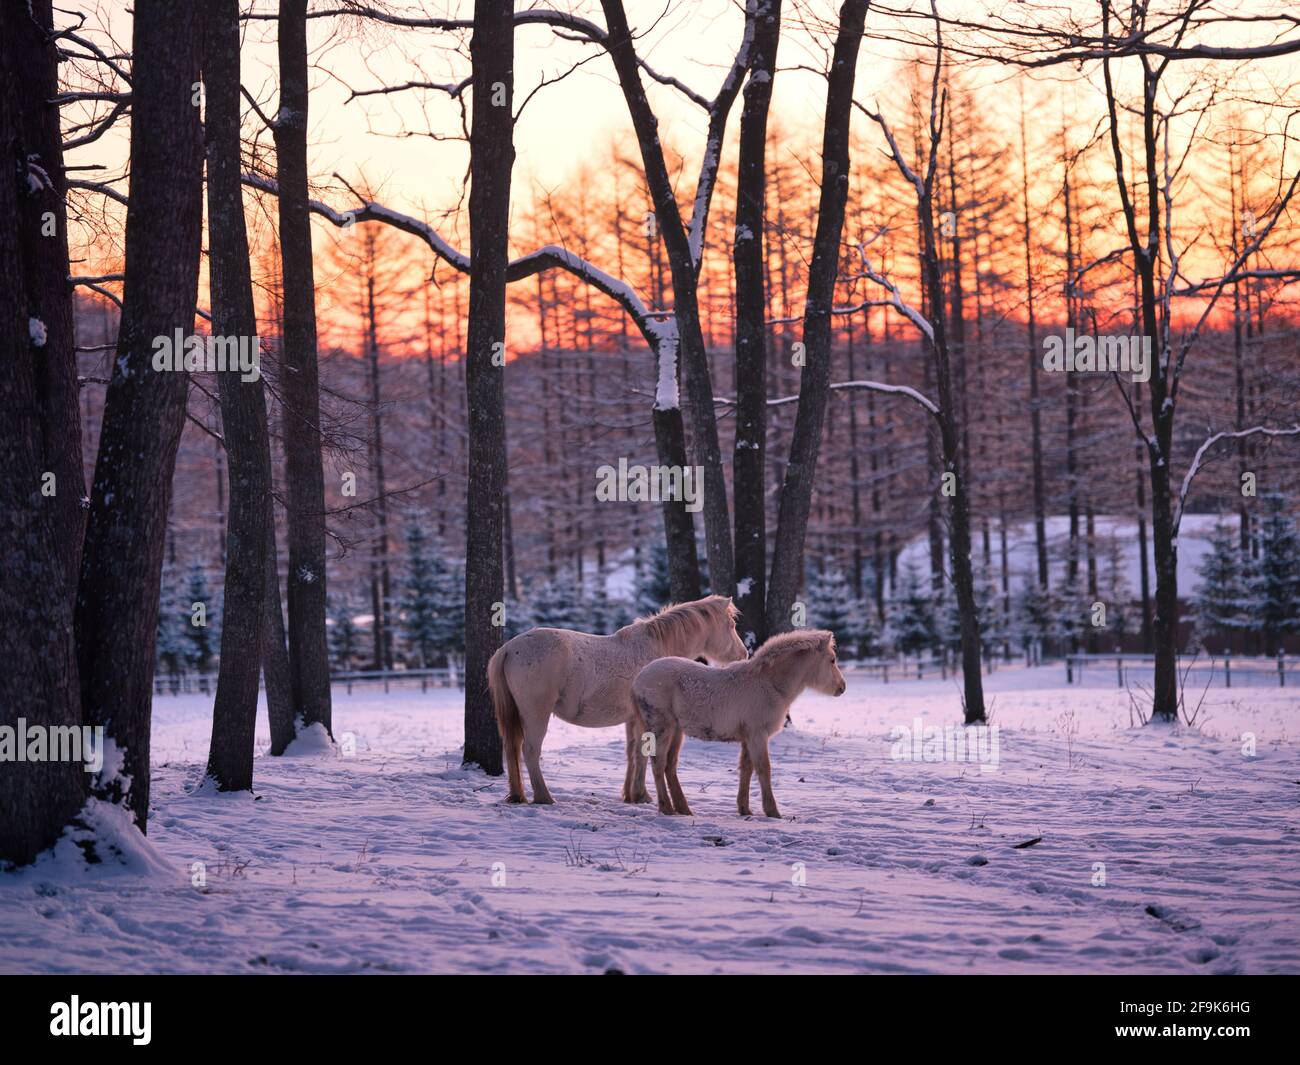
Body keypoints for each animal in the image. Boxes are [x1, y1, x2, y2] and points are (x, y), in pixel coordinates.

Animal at [488, 595, 748, 805]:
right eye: (732, 625)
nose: (743, 654)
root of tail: (509, 649)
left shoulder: (632, 719)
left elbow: (632, 752)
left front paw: (630, 794)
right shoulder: (646, 719)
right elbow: (642, 753)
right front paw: (641, 795)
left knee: (511, 748)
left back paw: (518, 795)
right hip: (537, 714)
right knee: (530, 750)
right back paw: (544, 797)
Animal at [631, 629, 846, 818]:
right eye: (832, 659)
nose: (842, 687)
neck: (769, 685)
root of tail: (638, 679)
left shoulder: (748, 737)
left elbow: (746, 769)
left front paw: (745, 809)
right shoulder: (757, 735)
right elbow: (763, 768)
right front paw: (772, 811)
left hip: (676, 731)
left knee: (670, 765)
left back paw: (683, 808)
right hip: (662, 728)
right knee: (658, 763)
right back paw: (666, 808)